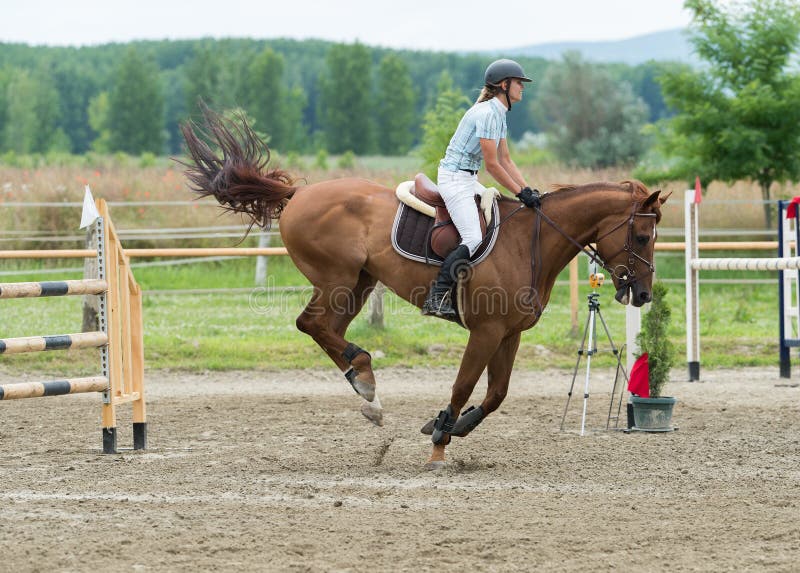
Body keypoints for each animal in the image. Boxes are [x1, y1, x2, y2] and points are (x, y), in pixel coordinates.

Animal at [179, 108, 668, 469]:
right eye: (643, 236)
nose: (643, 295)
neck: (532, 241)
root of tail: (298, 195)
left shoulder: (509, 333)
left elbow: (496, 395)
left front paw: (454, 426)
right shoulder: (486, 331)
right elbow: (463, 385)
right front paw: (438, 439)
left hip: (358, 283)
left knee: (323, 329)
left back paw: (366, 388)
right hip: (336, 278)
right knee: (312, 324)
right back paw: (366, 382)